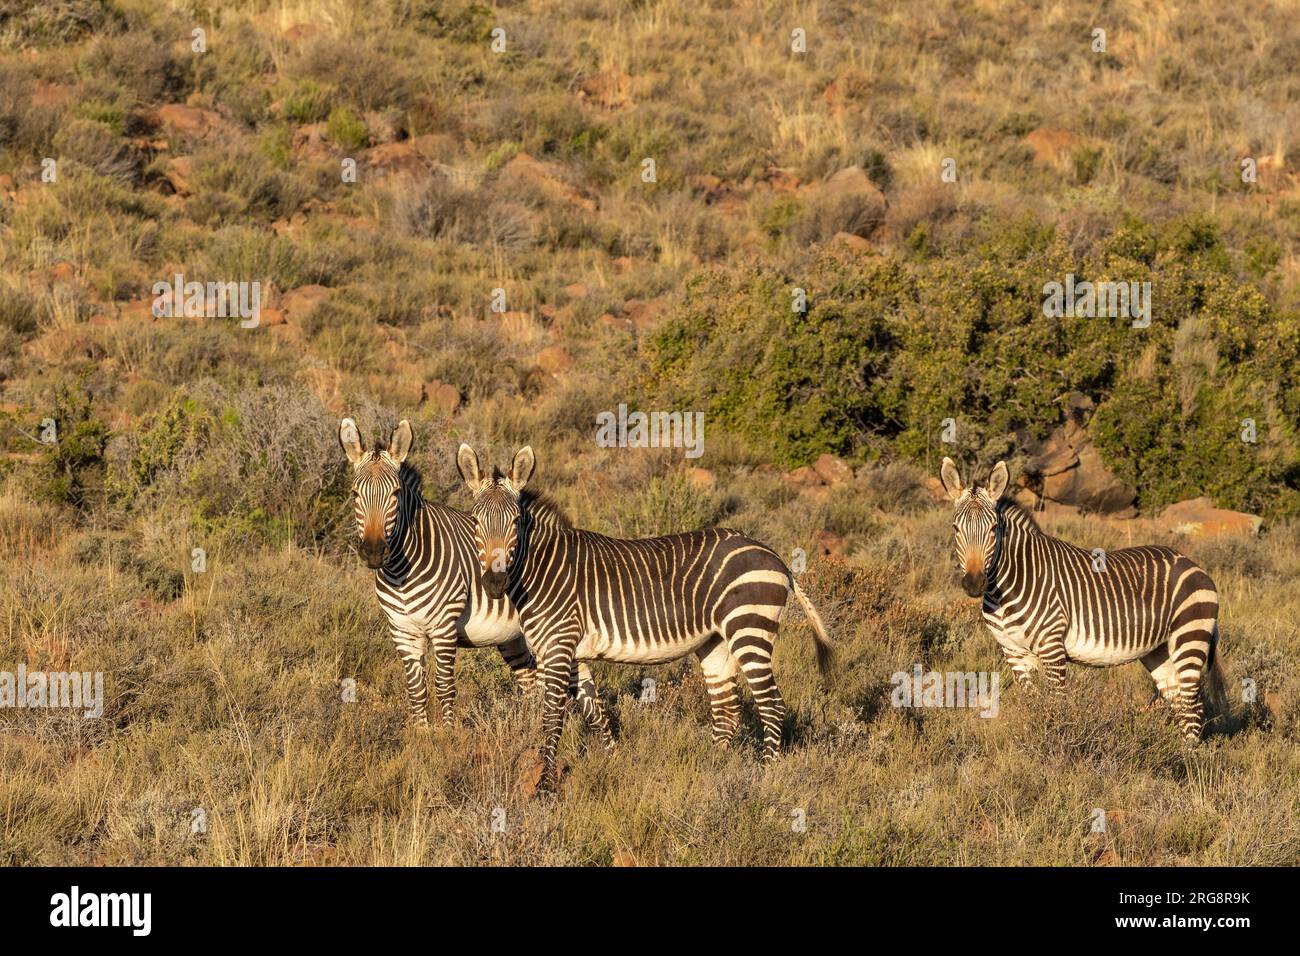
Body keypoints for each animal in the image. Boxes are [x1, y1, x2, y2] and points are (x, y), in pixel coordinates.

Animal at [339, 418, 536, 726]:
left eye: (395, 494)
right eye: (354, 494)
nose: (373, 552)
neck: (400, 573)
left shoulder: (444, 628)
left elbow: (444, 686)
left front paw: (447, 732)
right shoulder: (403, 630)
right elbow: (415, 688)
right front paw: (421, 732)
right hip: (512, 637)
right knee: (531, 678)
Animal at [456, 443, 834, 792]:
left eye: (516, 523)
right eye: (475, 521)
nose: (493, 582)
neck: (545, 568)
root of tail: (775, 556)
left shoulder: (558, 647)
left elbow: (553, 717)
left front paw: (546, 783)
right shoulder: (571, 651)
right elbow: (594, 711)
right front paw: (613, 762)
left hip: (749, 629)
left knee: (772, 706)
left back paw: (765, 777)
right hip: (716, 642)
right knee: (727, 711)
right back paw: (714, 775)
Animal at [939, 456, 1228, 741]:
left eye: (993, 529)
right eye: (955, 528)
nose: (974, 584)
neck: (1008, 587)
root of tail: (1194, 564)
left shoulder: (1052, 647)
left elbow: (1056, 705)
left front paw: (1055, 745)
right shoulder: (1013, 651)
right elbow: (1032, 702)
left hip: (1190, 637)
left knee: (1192, 706)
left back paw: (1188, 756)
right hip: (1159, 650)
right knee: (1179, 700)